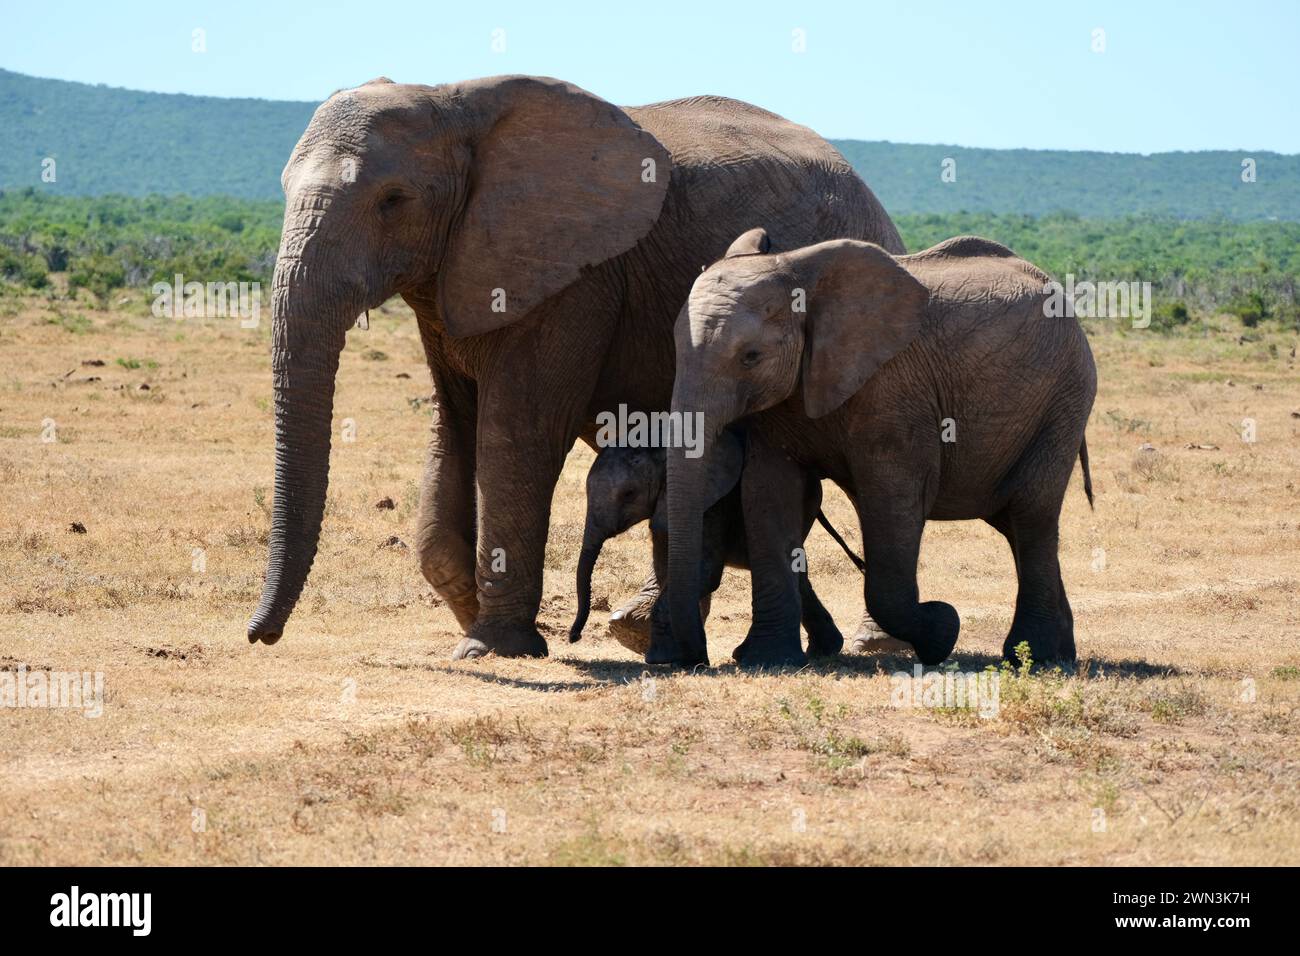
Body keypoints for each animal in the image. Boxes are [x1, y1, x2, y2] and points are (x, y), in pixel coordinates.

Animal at [568, 432, 857, 661]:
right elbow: (669, 570)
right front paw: (689, 655)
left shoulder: (711, 504)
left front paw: (666, 658)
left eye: (628, 494)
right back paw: (824, 649)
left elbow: (702, 572)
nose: (574, 637)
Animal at [664, 229, 1096, 668]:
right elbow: (769, 497)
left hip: (1064, 399)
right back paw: (1060, 652)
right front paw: (767, 659)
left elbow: (894, 498)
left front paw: (943, 627)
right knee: (1013, 523)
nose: (692, 657)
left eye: (751, 357)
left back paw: (1033, 656)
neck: (797, 273)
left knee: (1031, 514)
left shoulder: (893, 390)